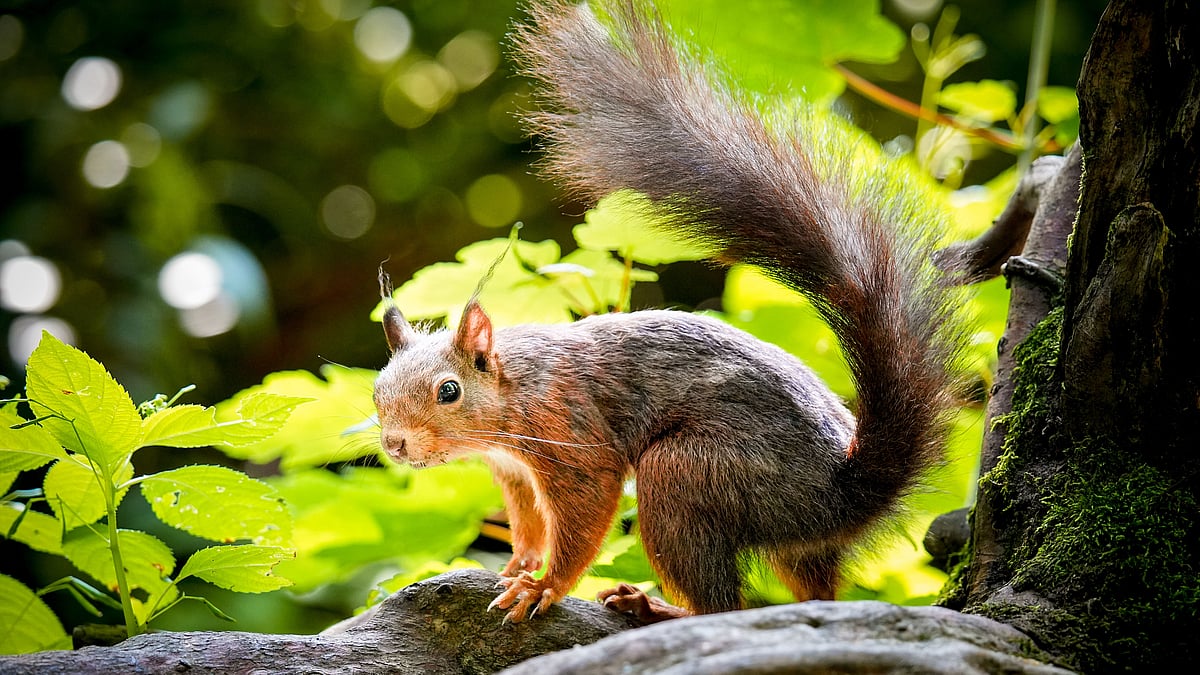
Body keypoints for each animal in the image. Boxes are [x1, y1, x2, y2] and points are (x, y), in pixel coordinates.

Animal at [372, 0, 968, 624]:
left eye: (449, 391)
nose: (395, 445)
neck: (515, 390)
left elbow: (584, 513)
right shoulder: (513, 471)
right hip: (788, 539)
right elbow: (529, 525)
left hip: (689, 475)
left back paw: (655, 607)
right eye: (378, 389)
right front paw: (516, 567)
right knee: (812, 593)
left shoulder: (572, 434)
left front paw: (543, 587)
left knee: (721, 608)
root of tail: (841, 495)